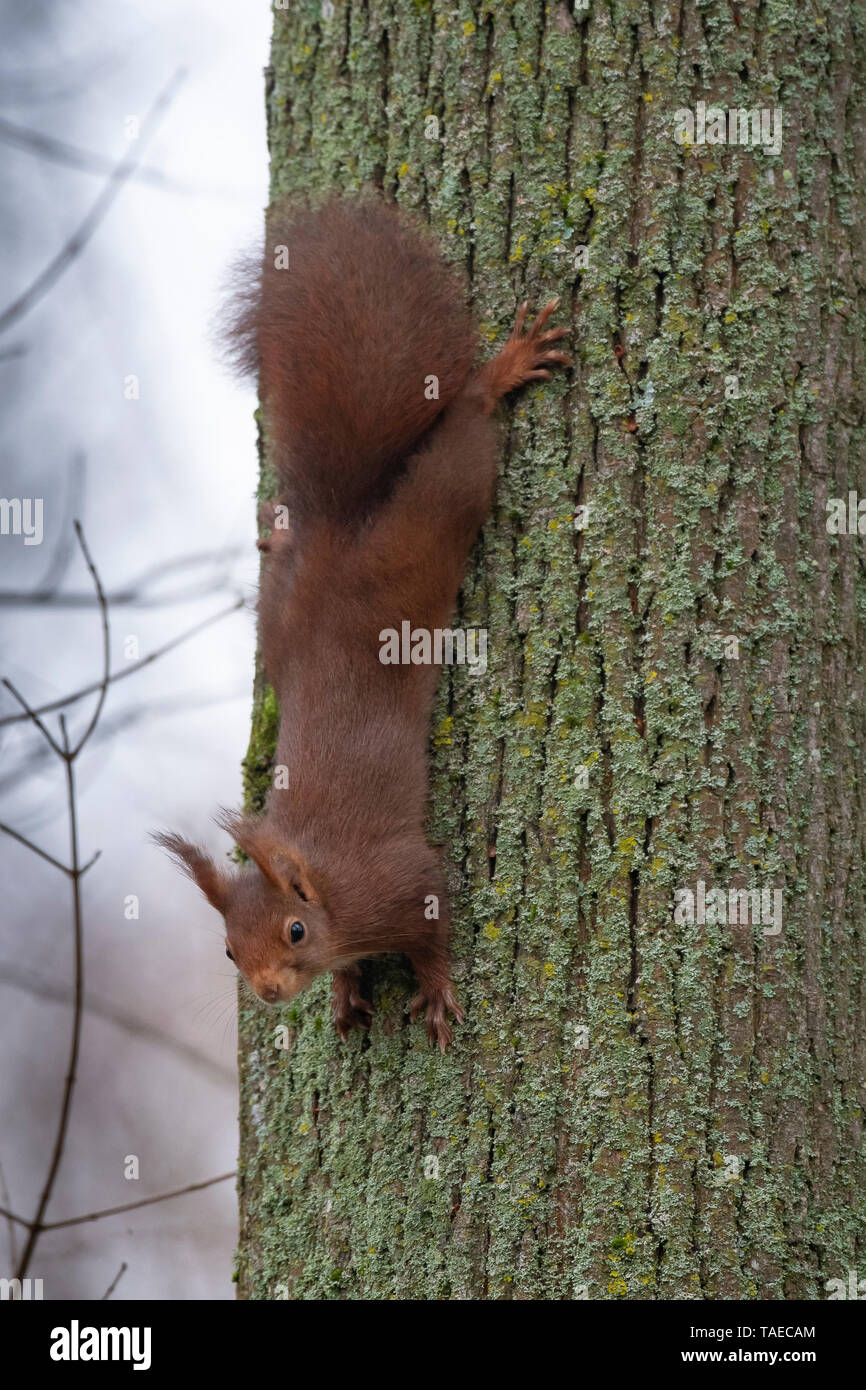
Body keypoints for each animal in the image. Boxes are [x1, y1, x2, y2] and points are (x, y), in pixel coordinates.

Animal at [155, 195, 569, 1049]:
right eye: (226, 948)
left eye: (294, 931)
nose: (270, 993)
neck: (331, 891)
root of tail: (341, 537)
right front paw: (347, 995)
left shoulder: (403, 880)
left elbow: (435, 924)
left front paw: (435, 991)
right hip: (277, 617)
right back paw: (278, 530)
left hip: (433, 517)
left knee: (464, 433)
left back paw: (504, 369)